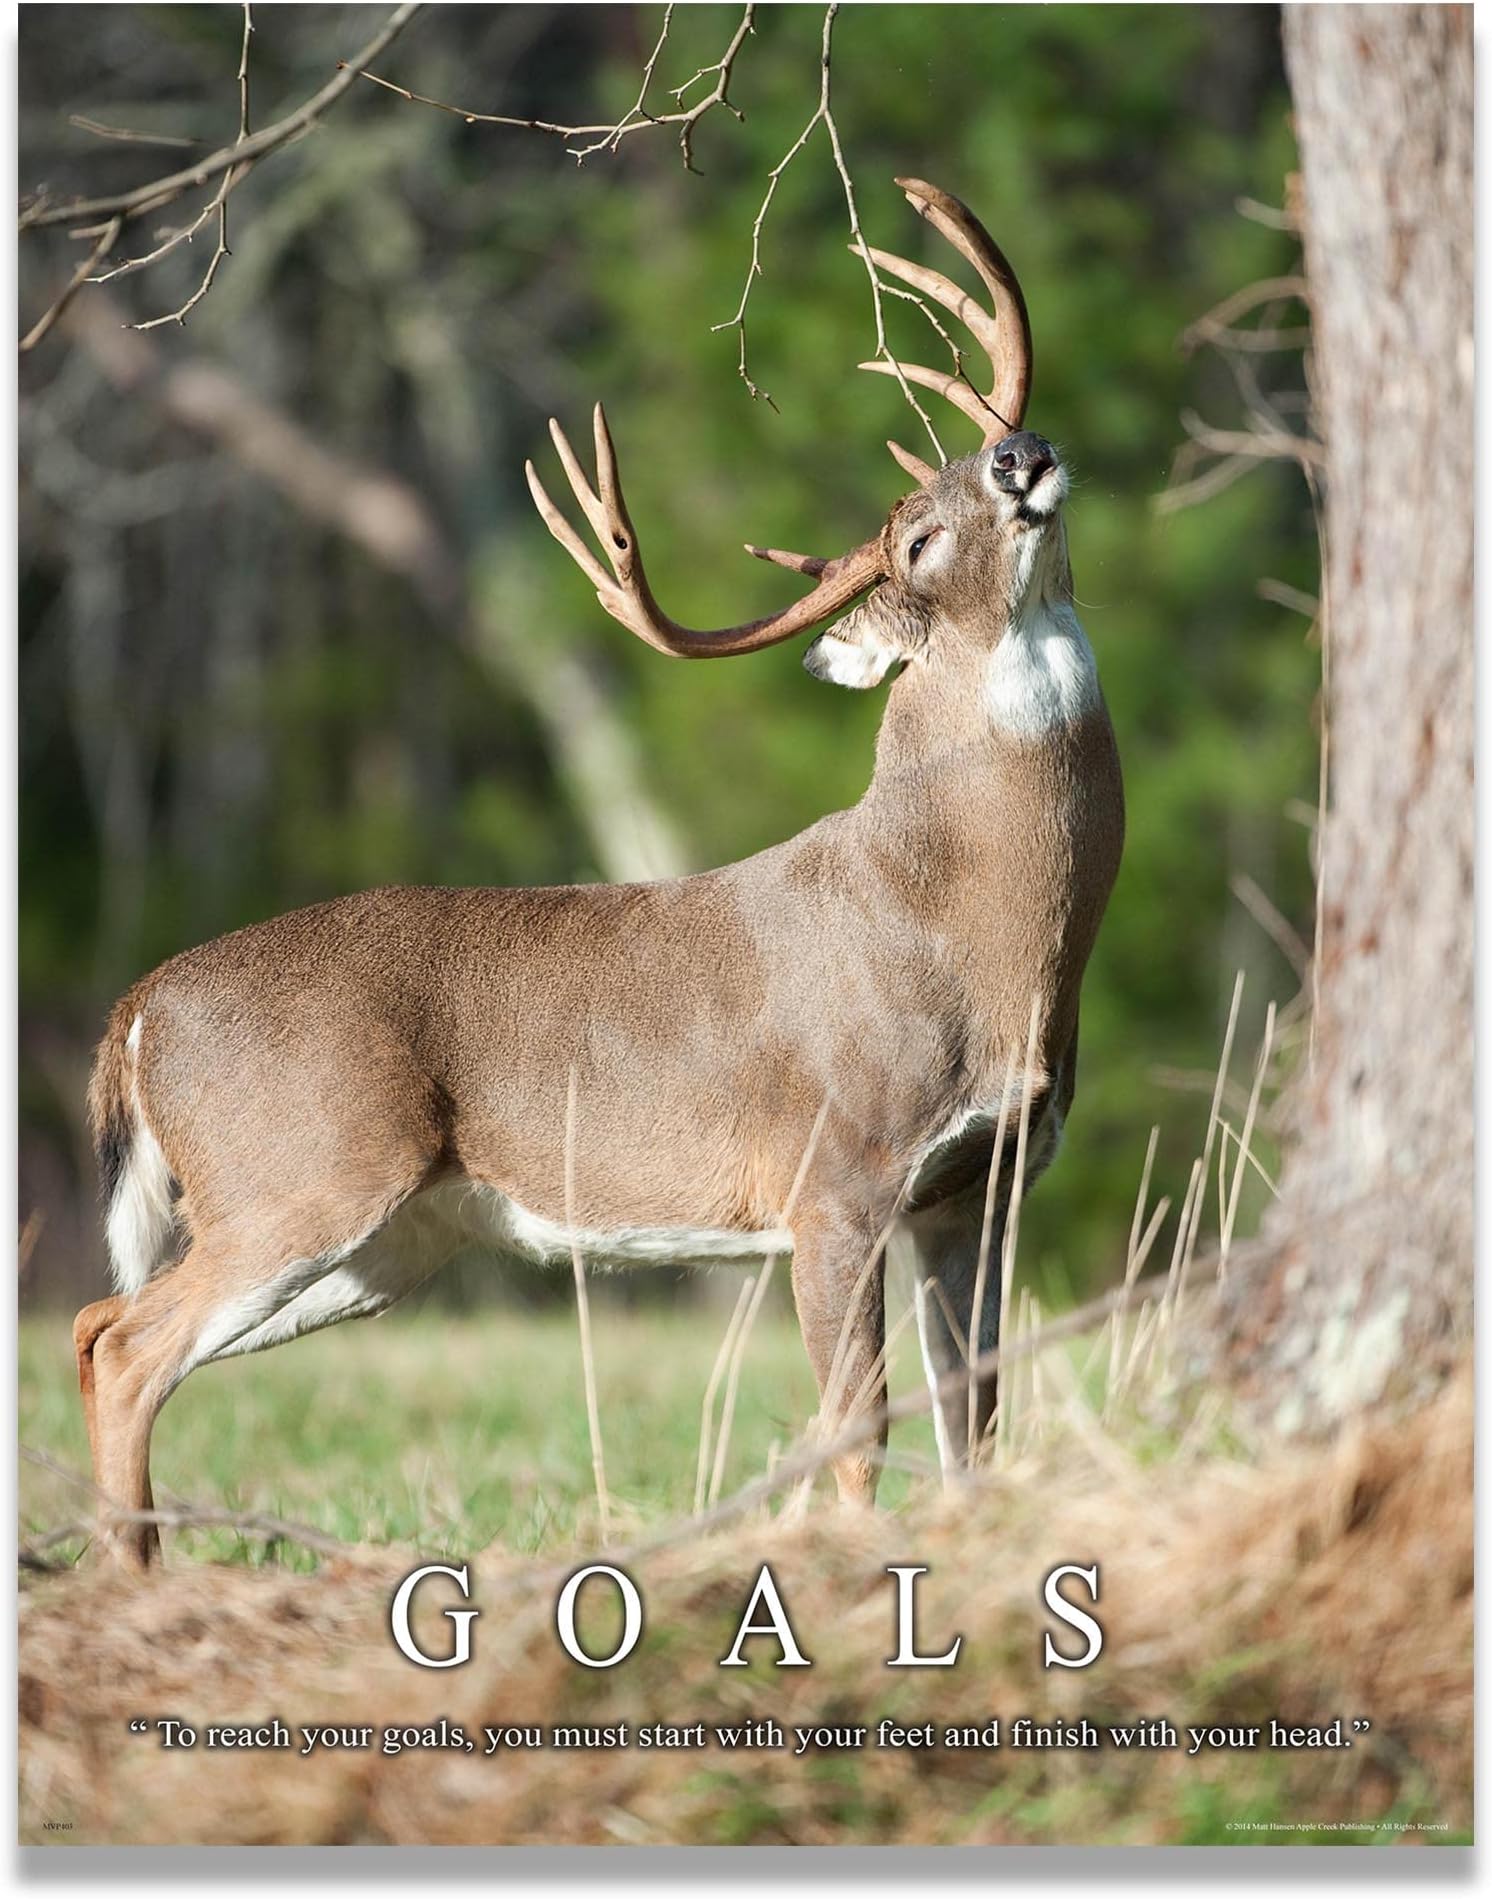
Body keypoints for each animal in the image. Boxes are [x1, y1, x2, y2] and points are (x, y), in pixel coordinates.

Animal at [74, 179, 1123, 1567]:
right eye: (912, 540)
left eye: (980, 463)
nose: (1022, 457)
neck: (974, 940)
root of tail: (137, 1012)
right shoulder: (832, 1174)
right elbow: (859, 1431)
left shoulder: (977, 1191)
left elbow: (976, 1425)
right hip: (299, 1170)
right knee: (127, 1343)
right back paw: (139, 1578)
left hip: (382, 1244)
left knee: (95, 1327)